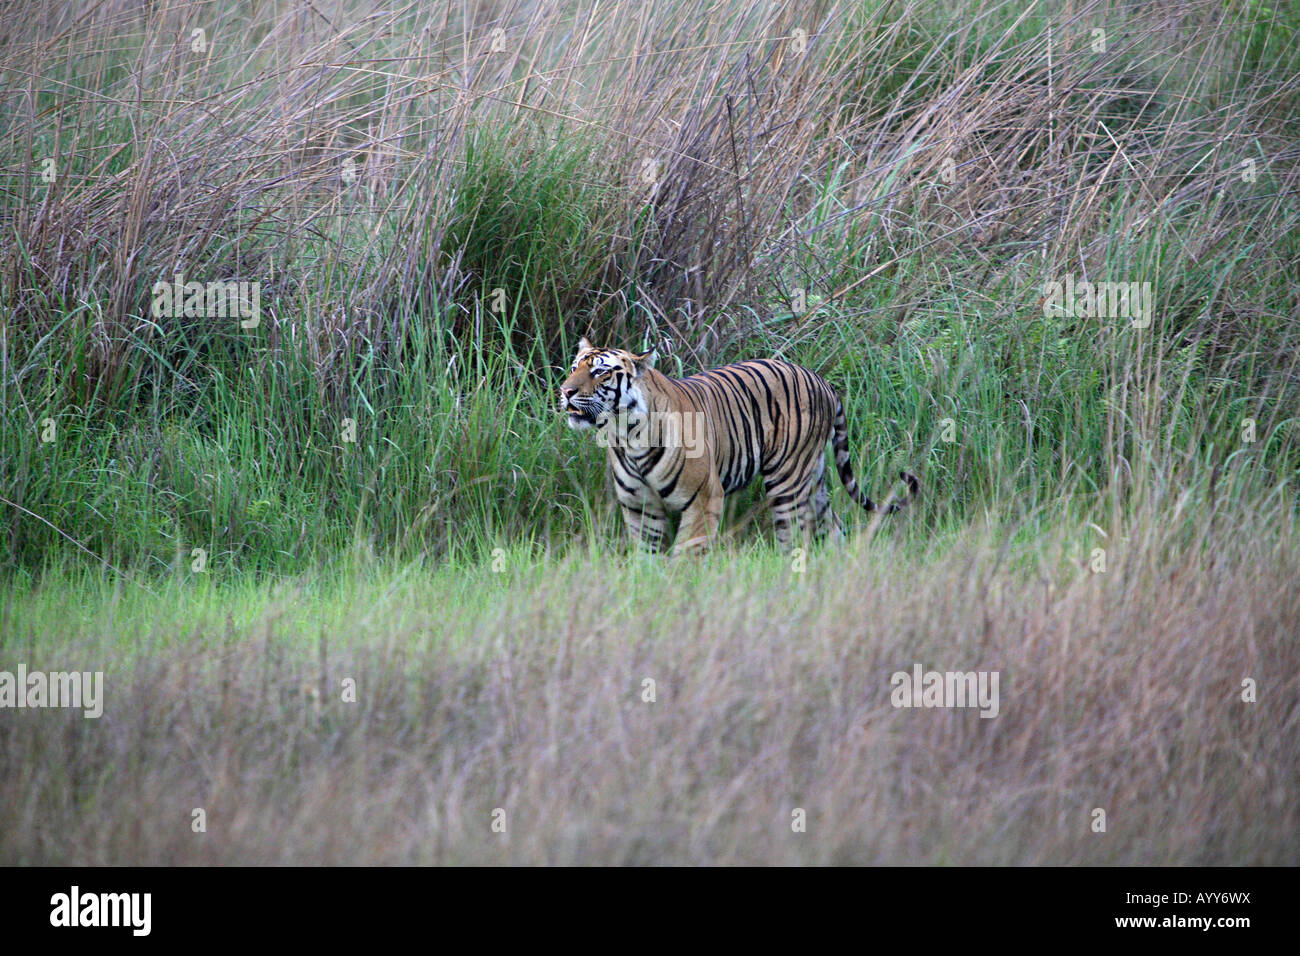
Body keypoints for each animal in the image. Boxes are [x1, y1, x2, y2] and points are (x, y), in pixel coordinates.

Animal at [559, 337, 918, 553]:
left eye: (601, 373)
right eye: (574, 367)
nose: (565, 391)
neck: (627, 435)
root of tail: (823, 382)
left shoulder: (704, 499)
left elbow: (685, 555)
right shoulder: (639, 507)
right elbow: (647, 558)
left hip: (787, 481)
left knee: (794, 536)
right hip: (812, 479)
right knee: (832, 526)